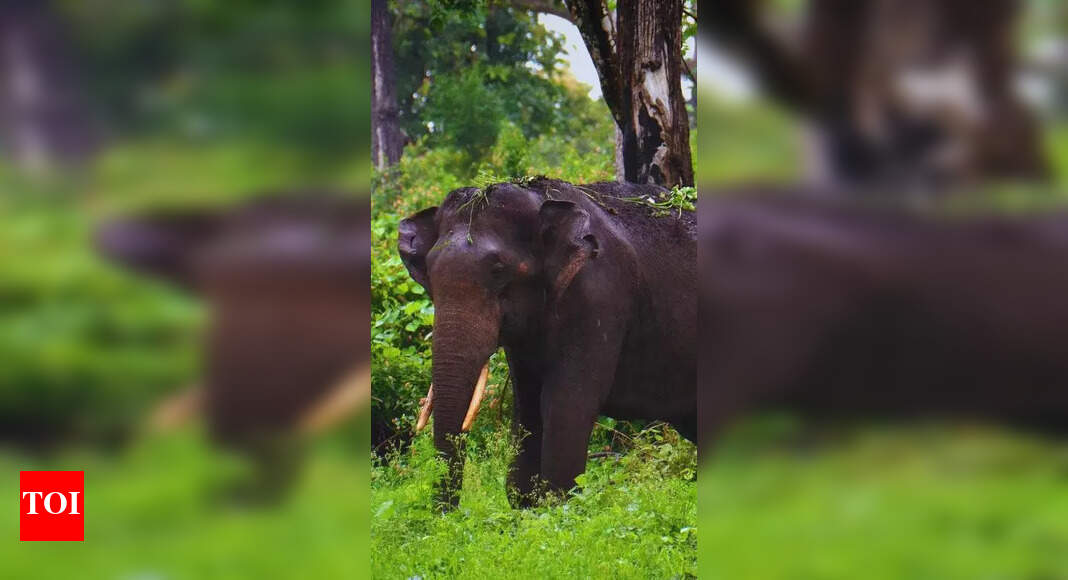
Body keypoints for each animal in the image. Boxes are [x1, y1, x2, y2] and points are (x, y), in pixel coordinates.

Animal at [398, 178, 696, 508]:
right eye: (430, 273)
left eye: (498, 270)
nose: (446, 515)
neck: (539, 199)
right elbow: (527, 405)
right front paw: (526, 508)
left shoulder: (598, 299)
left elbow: (567, 403)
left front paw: (556, 507)